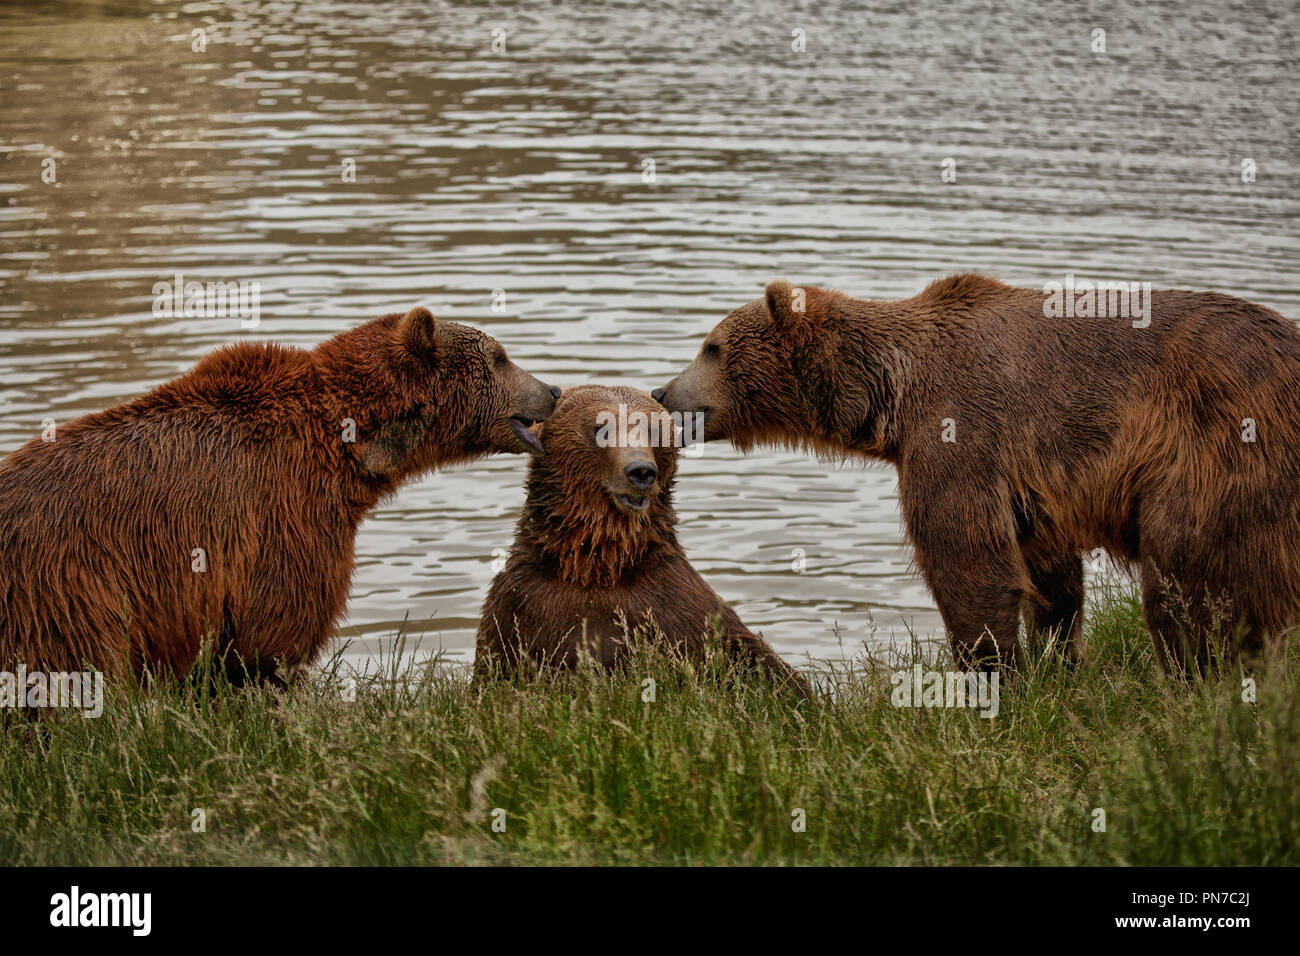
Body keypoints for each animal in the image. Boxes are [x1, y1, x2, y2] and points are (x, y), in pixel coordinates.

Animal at [0, 306, 558, 685]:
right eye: (500, 357)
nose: (552, 390)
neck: (351, 445)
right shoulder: (280, 510)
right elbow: (275, 626)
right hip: (65, 588)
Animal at [475, 384, 811, 699]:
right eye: (601, 428)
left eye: (653, 430)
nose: (640, 471)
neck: (598, 566)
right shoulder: (520, 606)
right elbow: (493, 670)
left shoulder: (676, 605)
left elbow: (761, 664)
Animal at [653, 275, 1300, 676]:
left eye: (711, 347)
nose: (662, 392)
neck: (889, 396)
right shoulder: (1032, 488)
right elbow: (1049, 575)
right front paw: (1056, 660)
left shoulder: (959, 430)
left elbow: (969, 564)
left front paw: (988, 677)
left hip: (1218, 451)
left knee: (1186, 580)